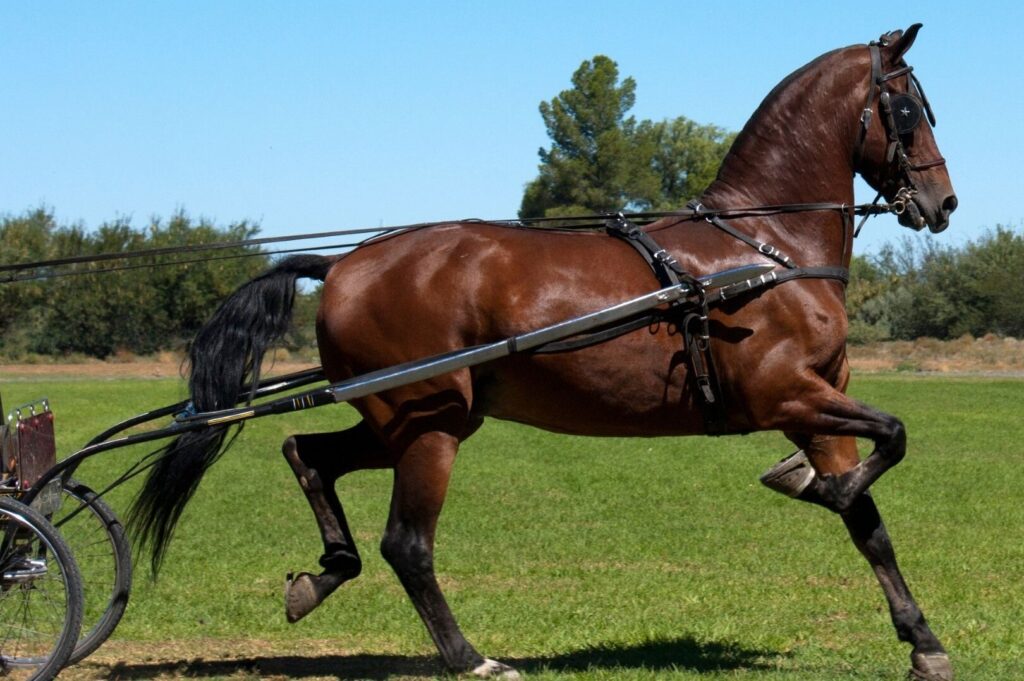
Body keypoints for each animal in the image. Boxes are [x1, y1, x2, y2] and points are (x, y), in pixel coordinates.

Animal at [129, 25, 957, 680]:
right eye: (908, 110)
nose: (943, 204)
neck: (761, 250)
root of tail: (342, 265)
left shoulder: (815, 407)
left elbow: (872, 524)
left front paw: (922, 640)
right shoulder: (787, 392)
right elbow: (889, 445)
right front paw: (815, 486)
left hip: (407, 419)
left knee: (307, 452)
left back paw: (324, 573)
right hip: (428, 426)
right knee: (407, 544)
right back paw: (470, 657)